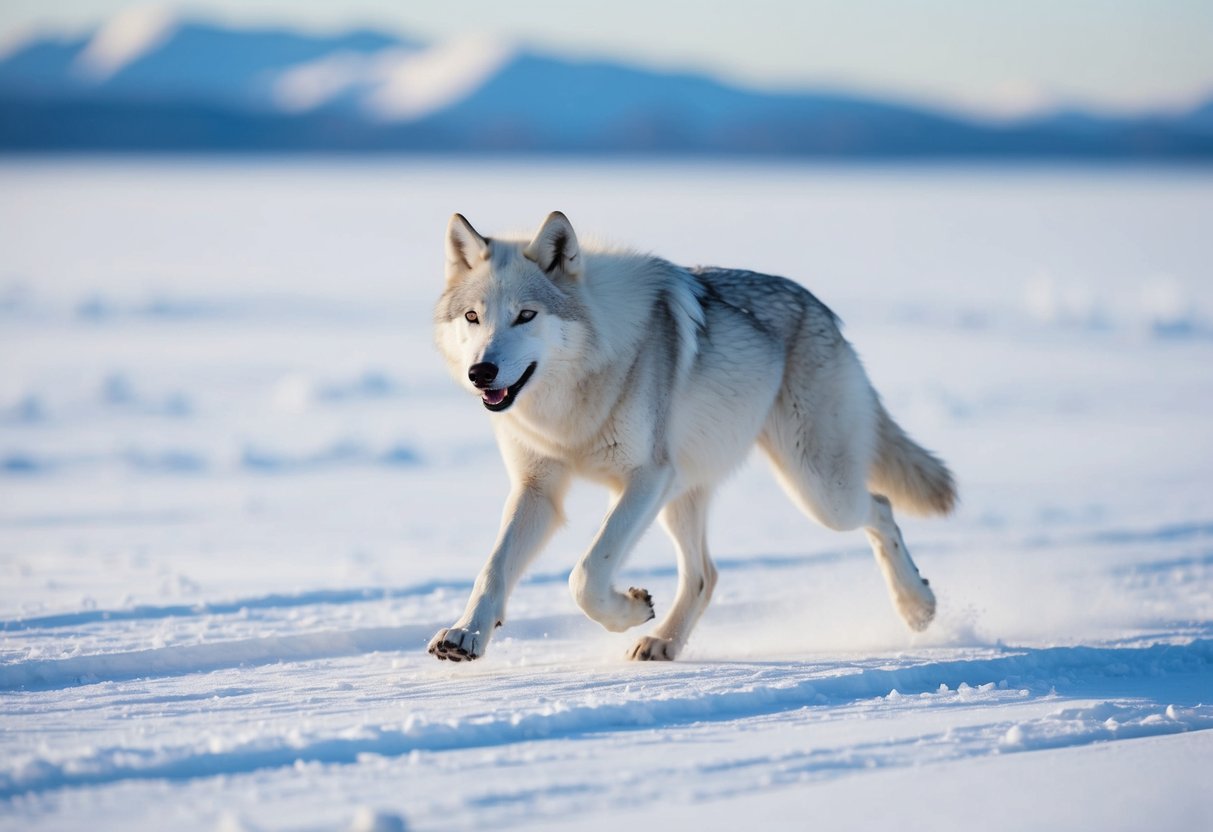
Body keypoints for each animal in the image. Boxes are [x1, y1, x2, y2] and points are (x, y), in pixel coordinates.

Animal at [429, 211, 955, 662]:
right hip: (684, 497)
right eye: (473, 317)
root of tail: (823, 310)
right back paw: (663, 642)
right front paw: (466, 634)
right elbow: (493, 569)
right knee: (705, 574)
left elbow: (586, 573)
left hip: (819, 493)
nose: (481, 372)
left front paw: (629, 609)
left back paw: (918, 606)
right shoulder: (538, 489)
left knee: (882, 508)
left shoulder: (644, 478)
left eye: (526, 316)